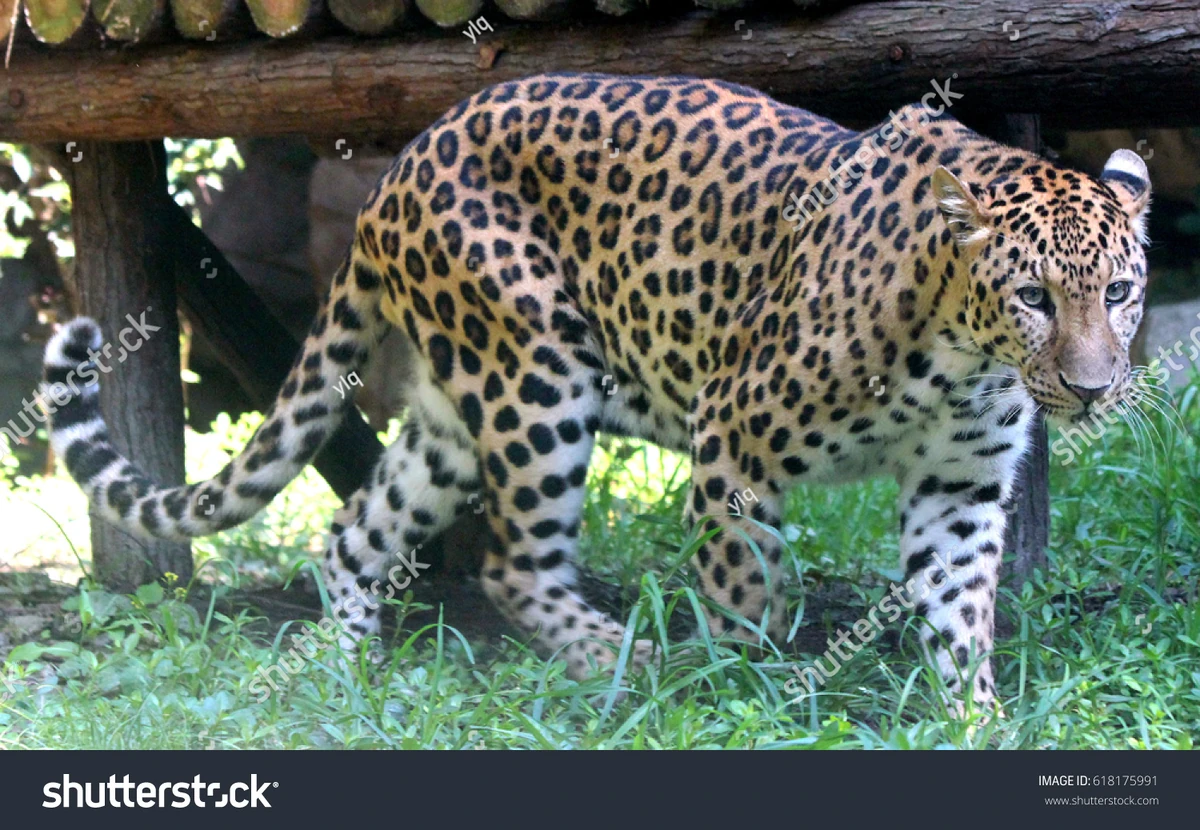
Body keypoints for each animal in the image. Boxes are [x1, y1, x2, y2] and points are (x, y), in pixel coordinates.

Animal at [42, 72, 1151, 712]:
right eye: (1034, 295)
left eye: (1122, 292)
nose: (1093, 391)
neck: (967, 355)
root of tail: (404, 161)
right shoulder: (734, 438)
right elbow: (744, 588)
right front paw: (742, 694)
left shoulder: (960, 487)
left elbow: (961, 613)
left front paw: (976, 720)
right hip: (538, 369)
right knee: (511, 562)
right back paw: (626, 660)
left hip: (452, 417)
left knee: (353, 532)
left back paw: (343, 674)